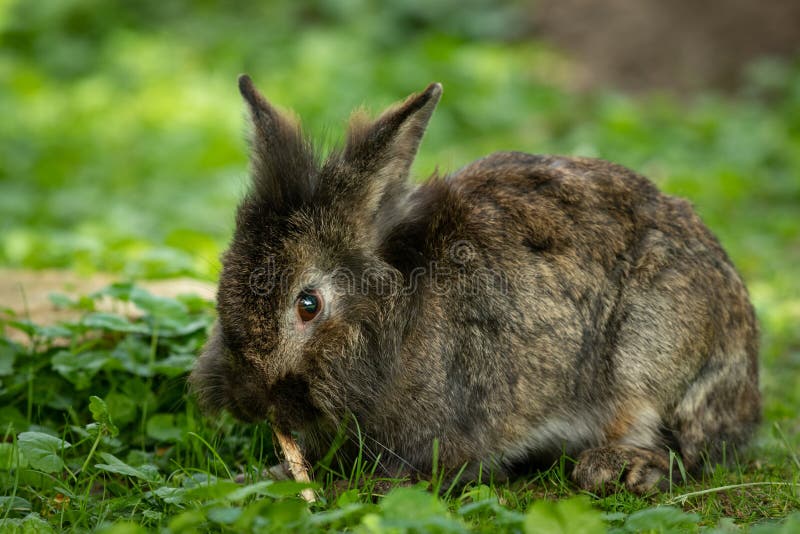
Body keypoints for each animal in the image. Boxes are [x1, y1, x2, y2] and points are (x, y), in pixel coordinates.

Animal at [189, 75, 761, 494]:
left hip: (650, 354)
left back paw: (616, 468)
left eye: (308, 304)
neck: (397, 311)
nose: (250, 400)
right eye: (223, 285)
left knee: (680, 448)